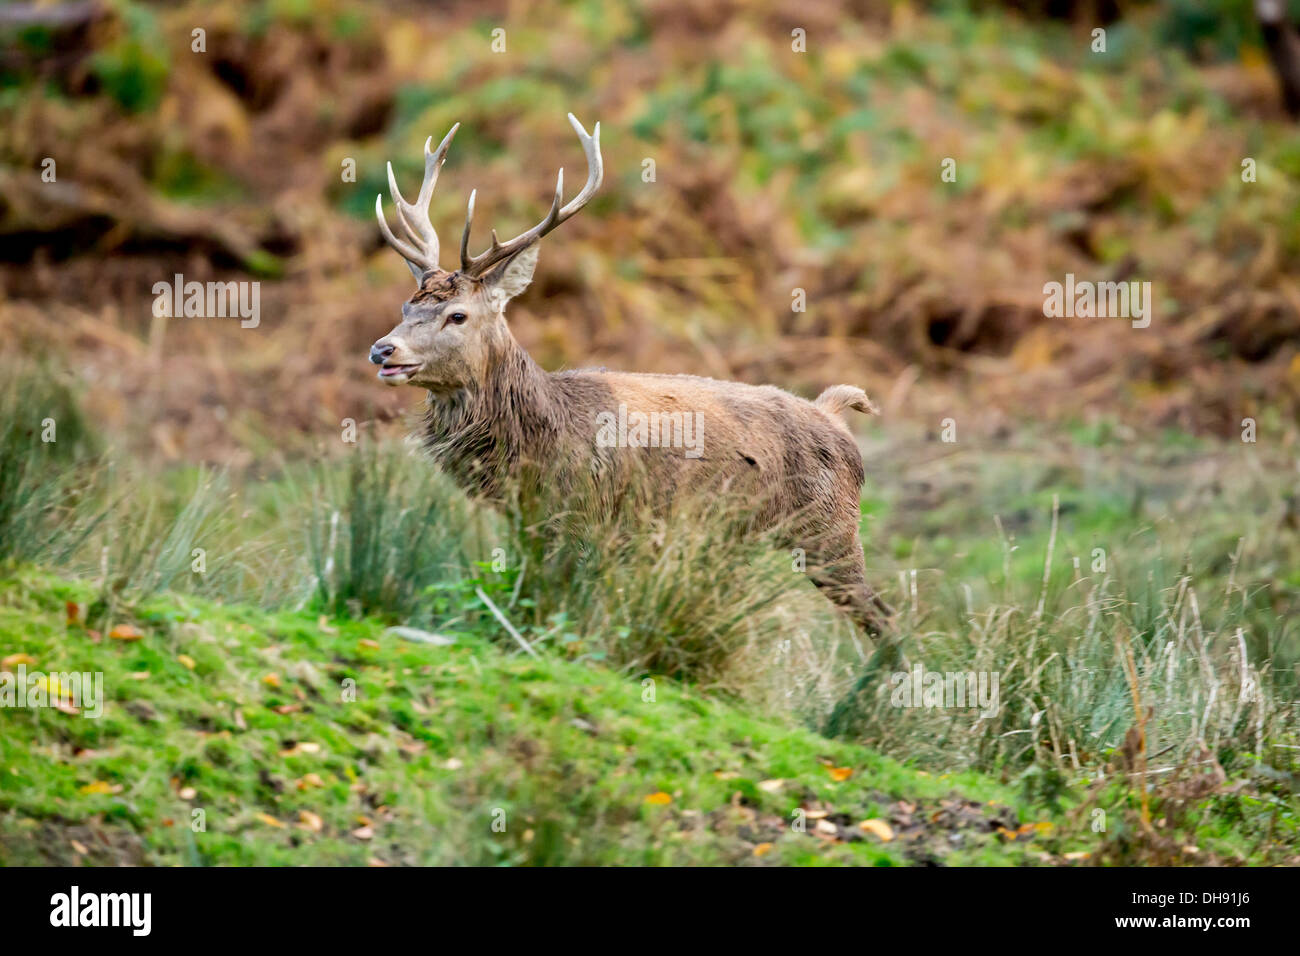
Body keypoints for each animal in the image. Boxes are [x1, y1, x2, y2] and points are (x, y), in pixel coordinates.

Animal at [370, 113, 893, 661]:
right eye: (407, 307)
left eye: (458, 315)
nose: (383, 349)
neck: (540, 442)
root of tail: (834, 414)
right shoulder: (536, 526)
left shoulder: (591, 518)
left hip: (831, 529)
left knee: (887, 618)